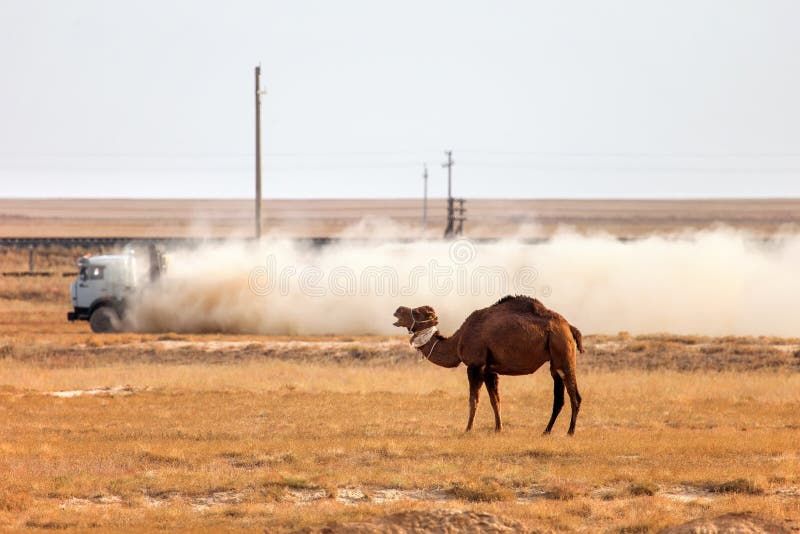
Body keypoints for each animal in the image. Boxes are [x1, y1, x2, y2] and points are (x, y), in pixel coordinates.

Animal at [393, 295, 585, 435]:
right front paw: (498, 428)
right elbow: (495, 400)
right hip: (555, 361)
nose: (397, 309)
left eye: (417, 312)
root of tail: (569, 327)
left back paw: (570, 431)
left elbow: (473, 399)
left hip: (563, 352)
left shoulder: (475, 365)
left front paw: (468, 429)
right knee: (559, 397)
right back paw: (546, 431)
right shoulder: (489, 369)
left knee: (574, 396)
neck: (457, 341)